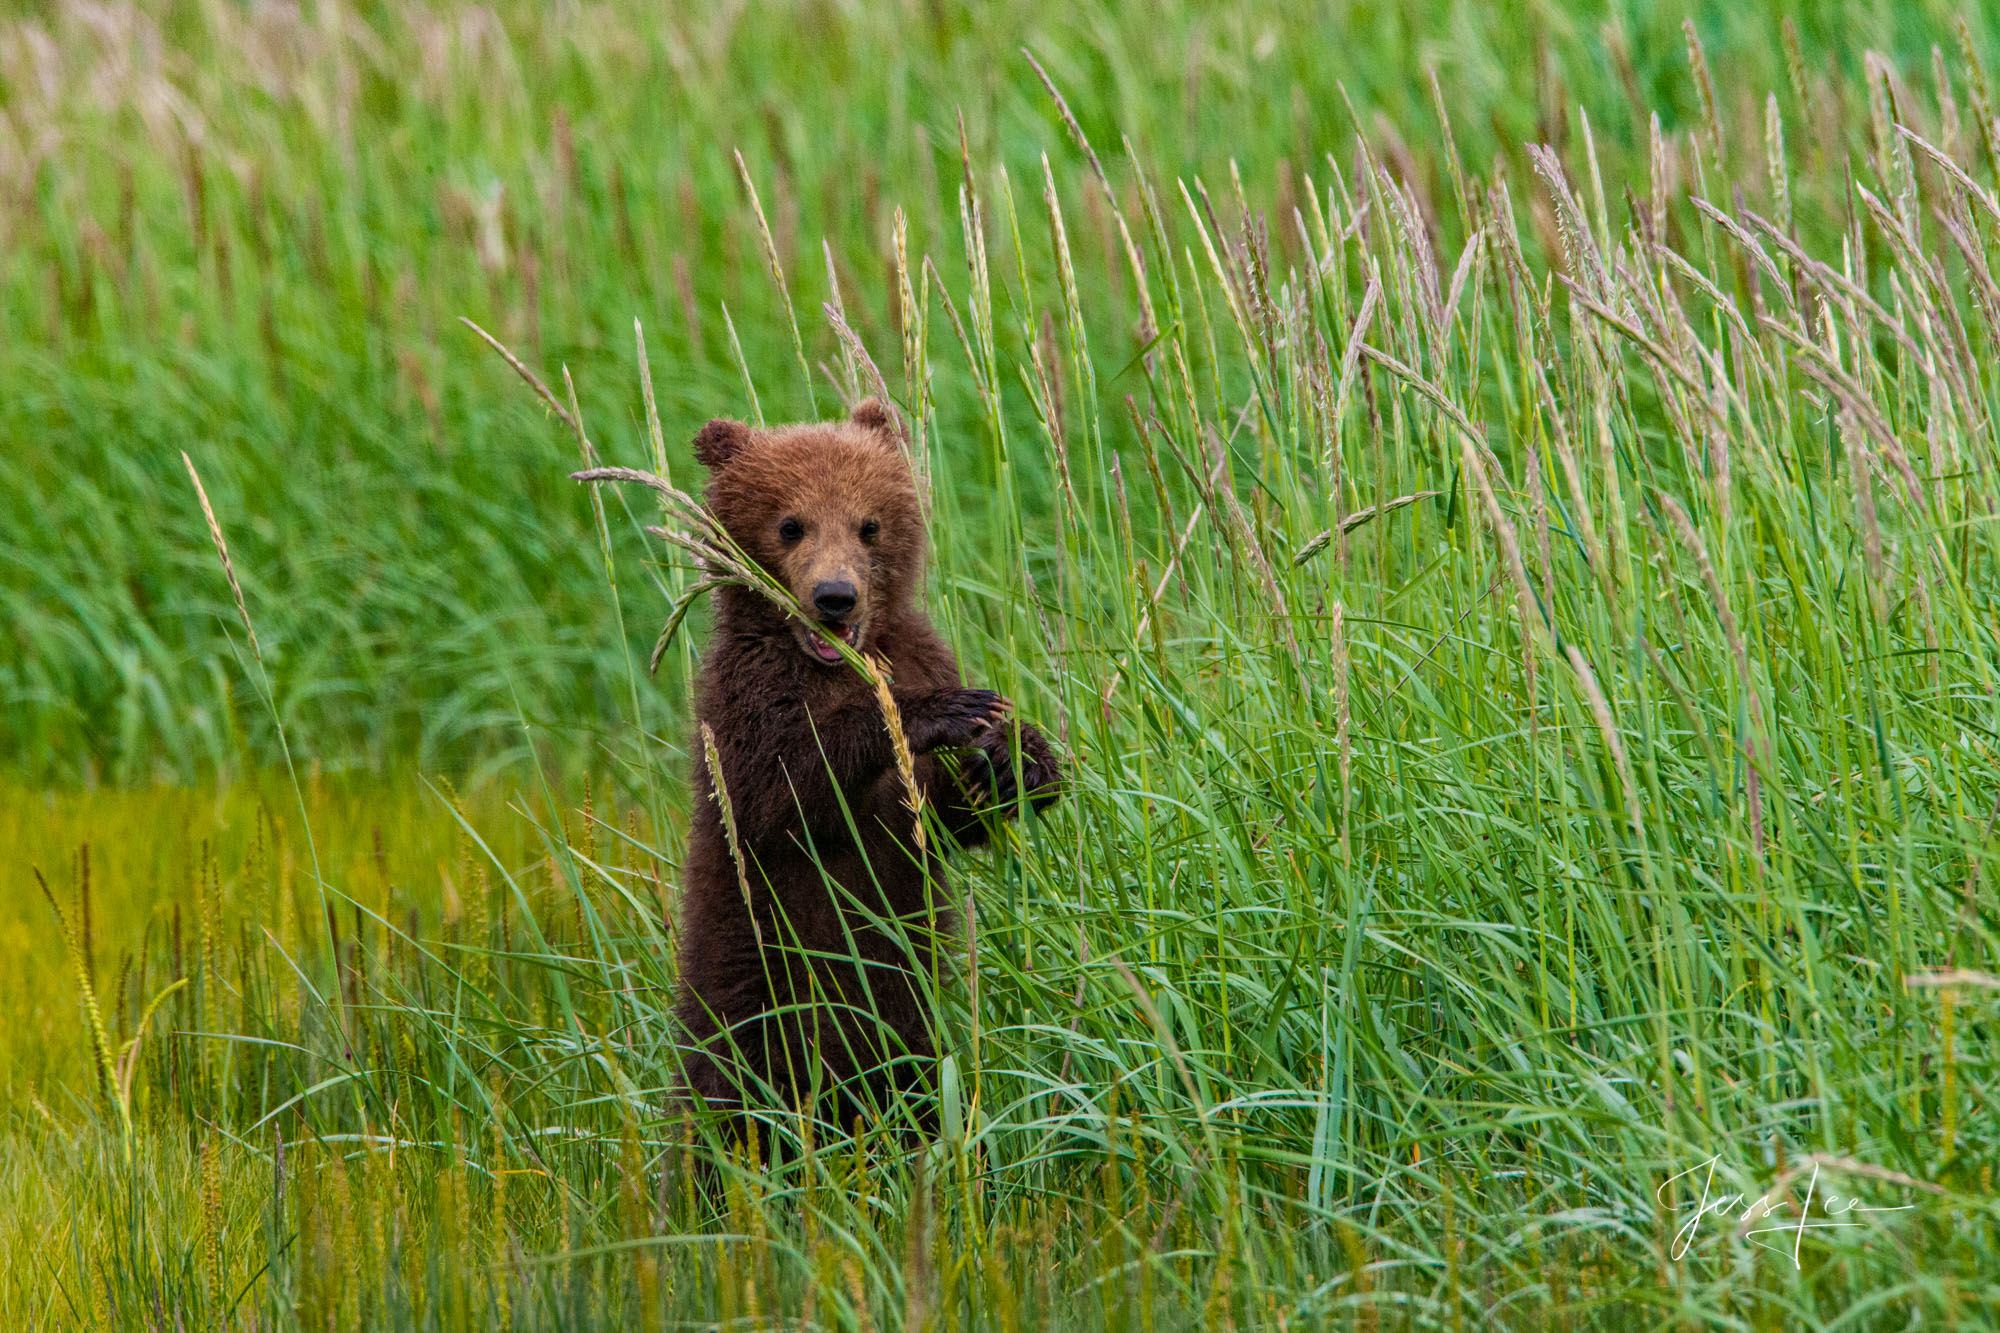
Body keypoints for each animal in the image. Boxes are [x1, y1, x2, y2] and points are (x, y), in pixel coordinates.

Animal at [674, 398, 1061, 1137]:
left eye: (869, 523)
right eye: (790, 523)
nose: (835, 595)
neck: (827, 662)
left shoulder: (918, 652)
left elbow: (938, 816)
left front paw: (1014, 757)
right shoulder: (742, 703)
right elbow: (782, 793)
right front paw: (930, 713)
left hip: (909, 1031)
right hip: (752, 993)